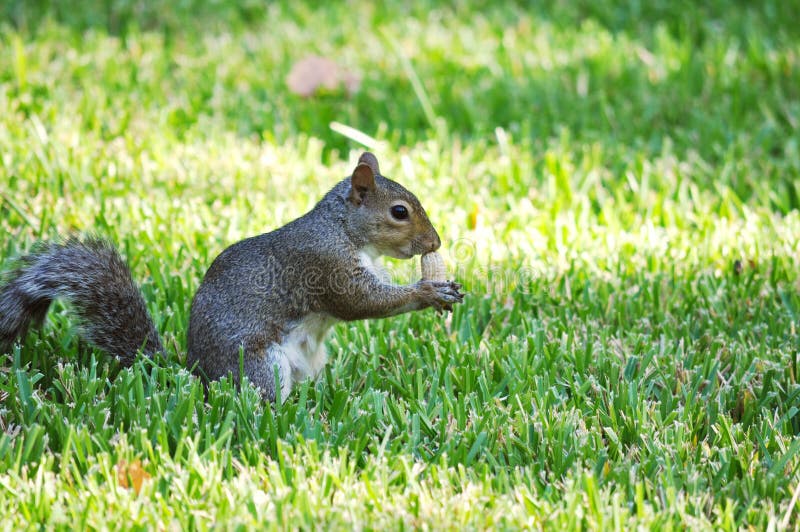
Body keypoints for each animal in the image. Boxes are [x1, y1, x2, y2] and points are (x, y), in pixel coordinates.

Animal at [0, 152, 465, 401]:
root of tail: (196, 375)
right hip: (260, 365)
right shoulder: (324, 265)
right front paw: (428, 291)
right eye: (399, 212)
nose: (436, 242)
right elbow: (359, 302)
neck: (343, 228)